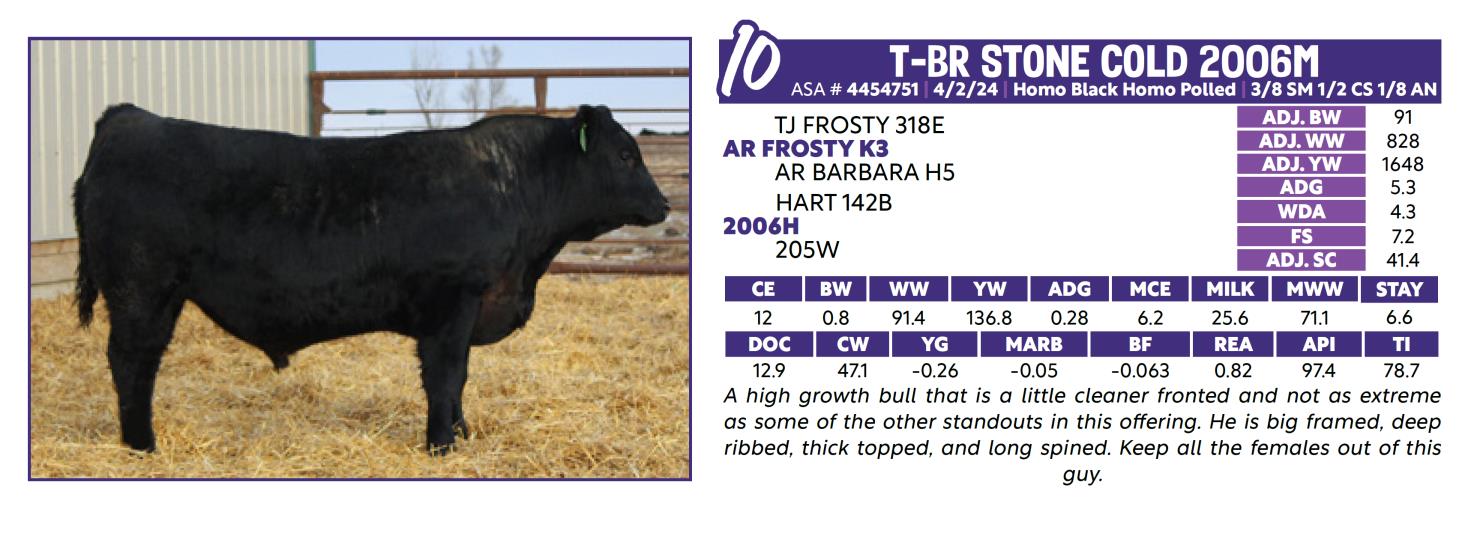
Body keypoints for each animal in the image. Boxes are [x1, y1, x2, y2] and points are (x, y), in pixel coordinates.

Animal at [71, 103, 669, 455]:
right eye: (624, 154)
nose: (664, 204)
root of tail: (128, 118)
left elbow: (459, 382)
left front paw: (462, 433)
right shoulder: (452, 303)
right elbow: (446, 378)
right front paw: (442, 446)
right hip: (143, 290)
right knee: (133, 362)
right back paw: (142, 445)